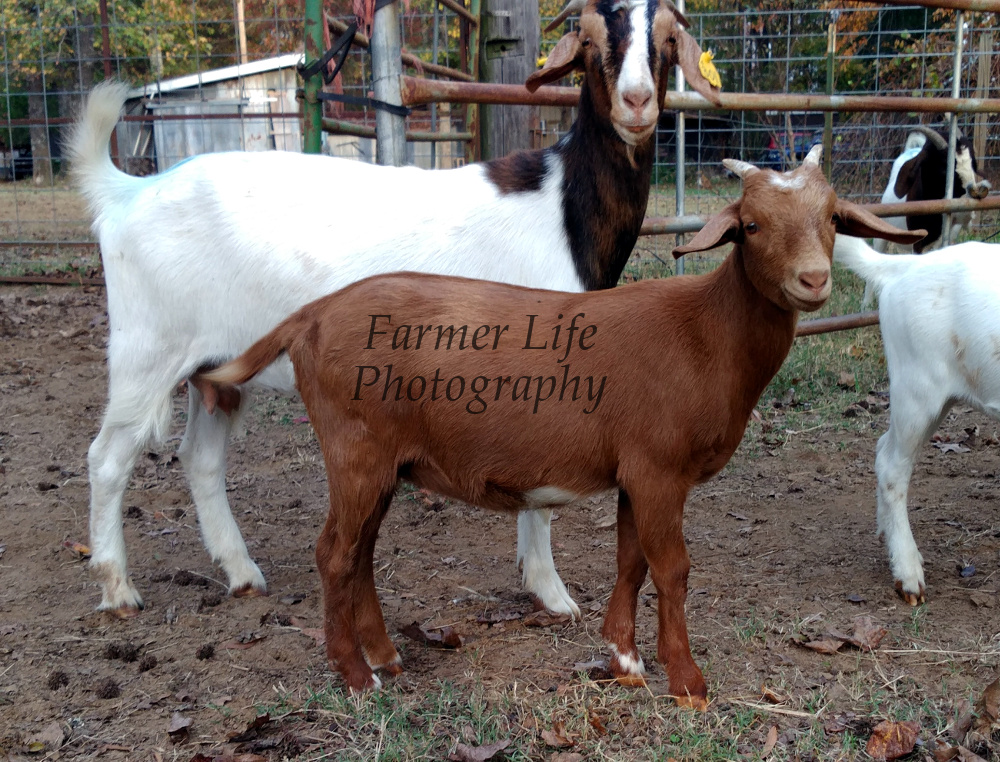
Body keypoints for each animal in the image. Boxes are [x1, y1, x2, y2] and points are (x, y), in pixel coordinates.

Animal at [67, 0, 721, 620]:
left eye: (668, 40)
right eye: (587, 41)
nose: (636, 102)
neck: (564, 207)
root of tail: (127, 194)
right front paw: (551, 593)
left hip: (218, 366)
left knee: (200, 459)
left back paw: (241, 573)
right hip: (147, 349)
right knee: (107, 458)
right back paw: (117, 587)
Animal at [195, 145, 923, 706]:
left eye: (832, 219)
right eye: (750, 224)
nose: (813, 280)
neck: (706, 335)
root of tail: (310, 316)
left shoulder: (636, 471)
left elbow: (631, 559)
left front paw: (624, 660)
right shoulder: (659, 468)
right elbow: (672, 568)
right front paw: (687, 681)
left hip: (383, 461)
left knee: (361, 553)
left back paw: (386, 658)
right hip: (355, 448)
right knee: (333, 554)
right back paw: (354, 676)